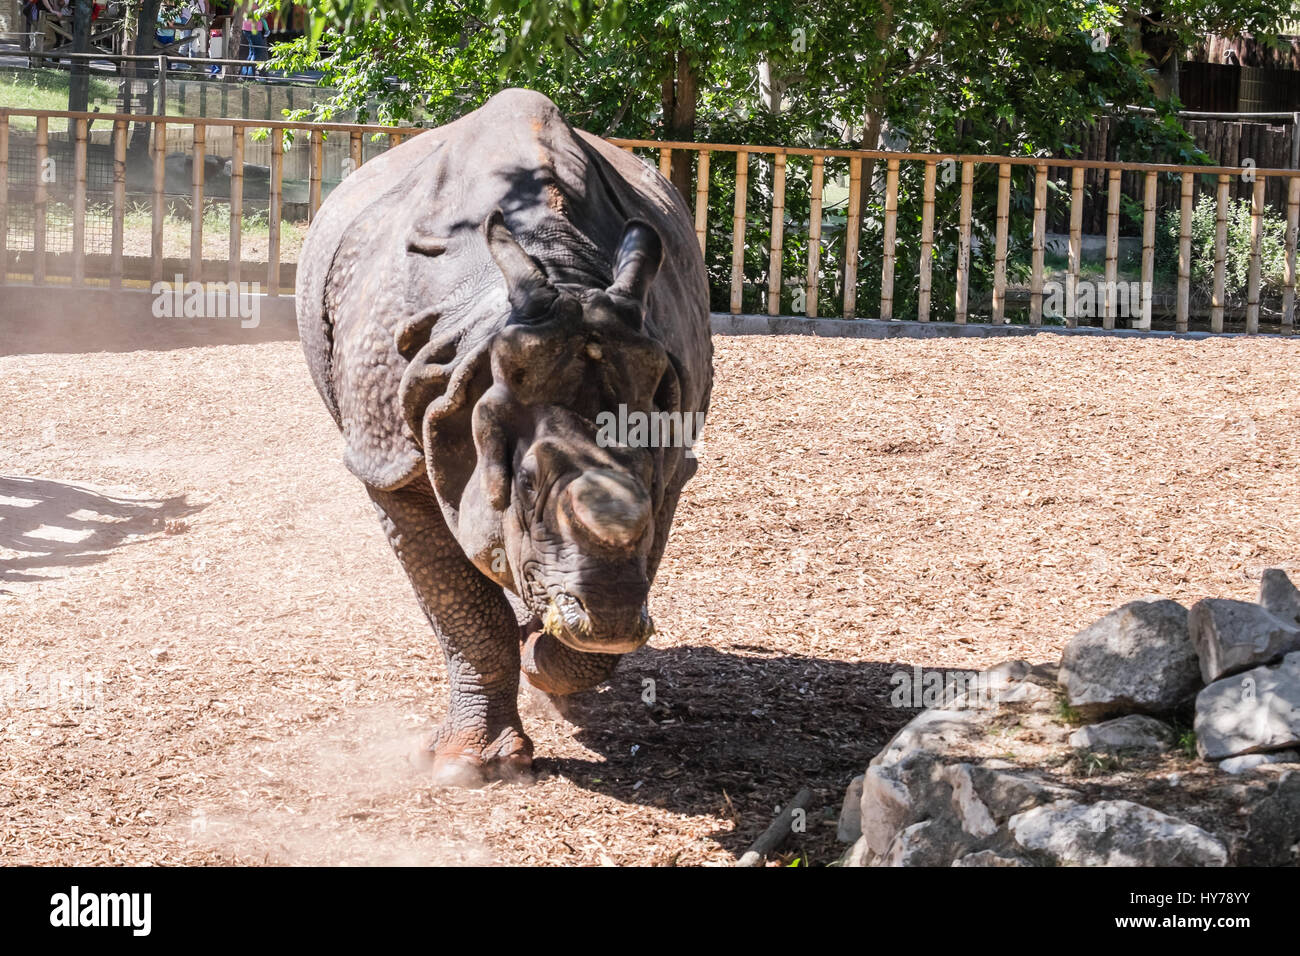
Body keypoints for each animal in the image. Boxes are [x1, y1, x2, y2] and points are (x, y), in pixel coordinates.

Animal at [296, 89, 713, 786]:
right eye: (522, 485)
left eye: (650, 476)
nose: (607, 617)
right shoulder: (388, 455)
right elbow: (462, 605)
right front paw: (468, 767)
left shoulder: (673, 454)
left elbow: (640, 546)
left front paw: (549, 659)